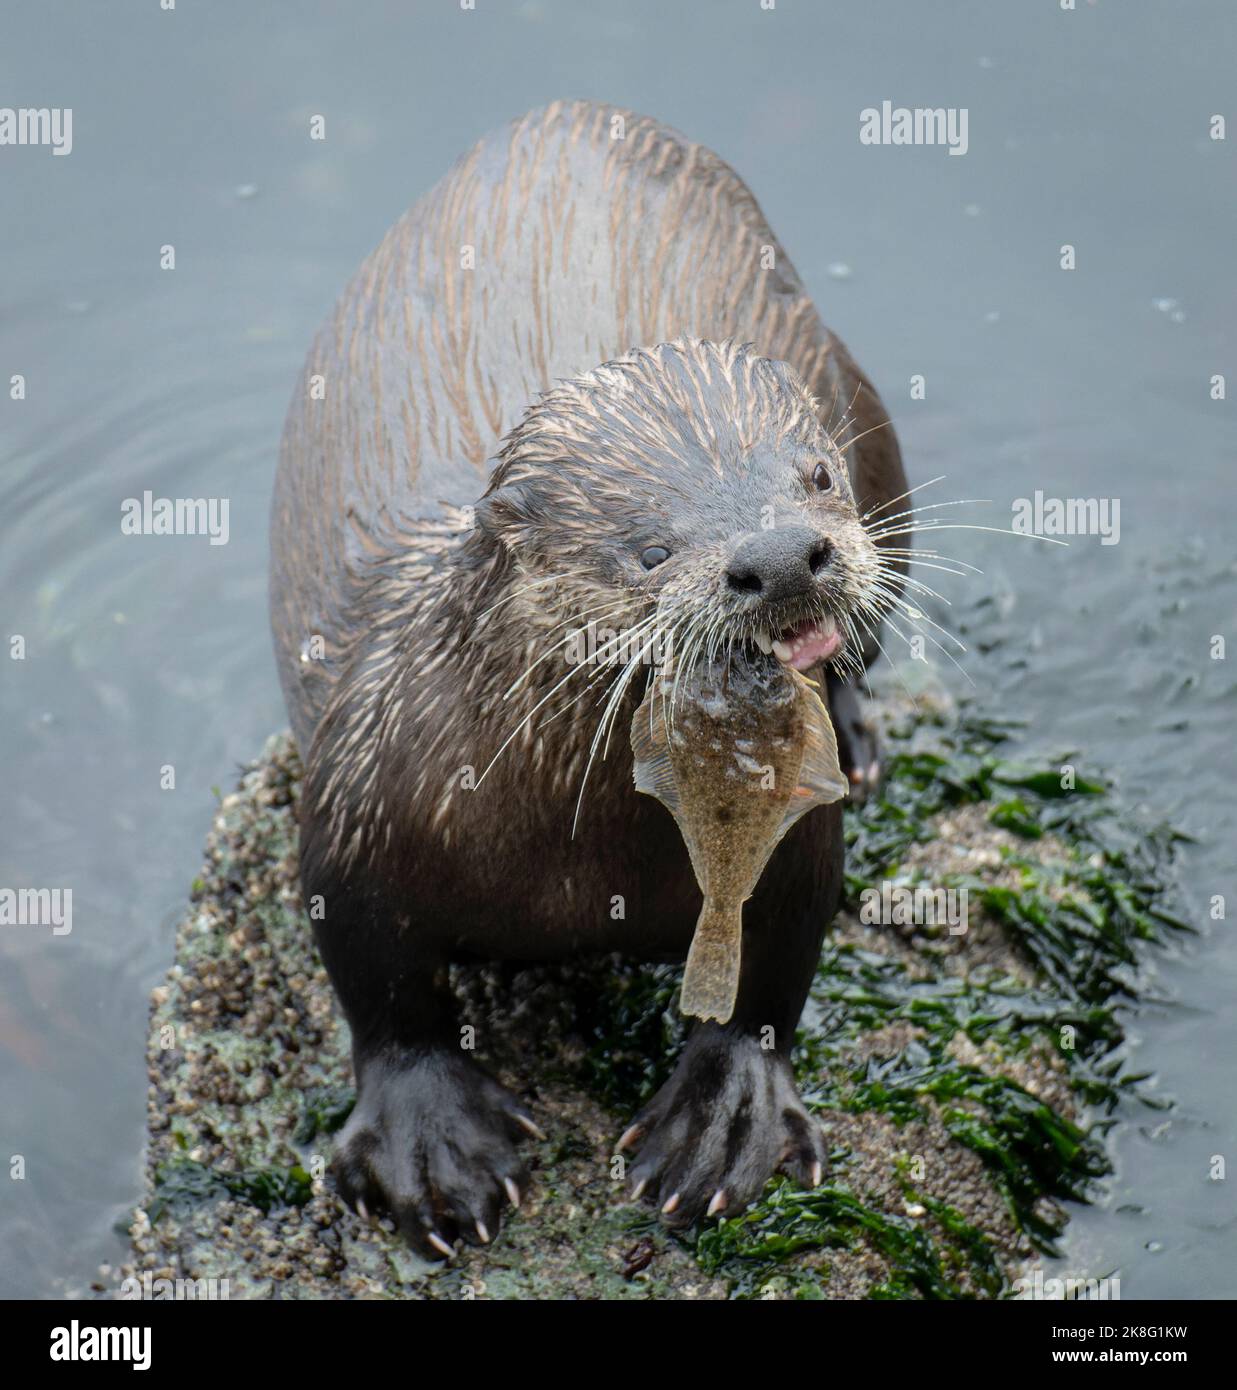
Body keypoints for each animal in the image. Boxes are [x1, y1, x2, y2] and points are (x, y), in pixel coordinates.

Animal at [269, 101, 908, 1256]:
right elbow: (379, 989)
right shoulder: (358, 797)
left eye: (815, 475)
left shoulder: (796, 846)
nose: (783, 555)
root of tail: (571, 114)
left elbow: (773, 974)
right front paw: (431, 1148)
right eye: (648, 550)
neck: (569, 850)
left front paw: (723, 1123)